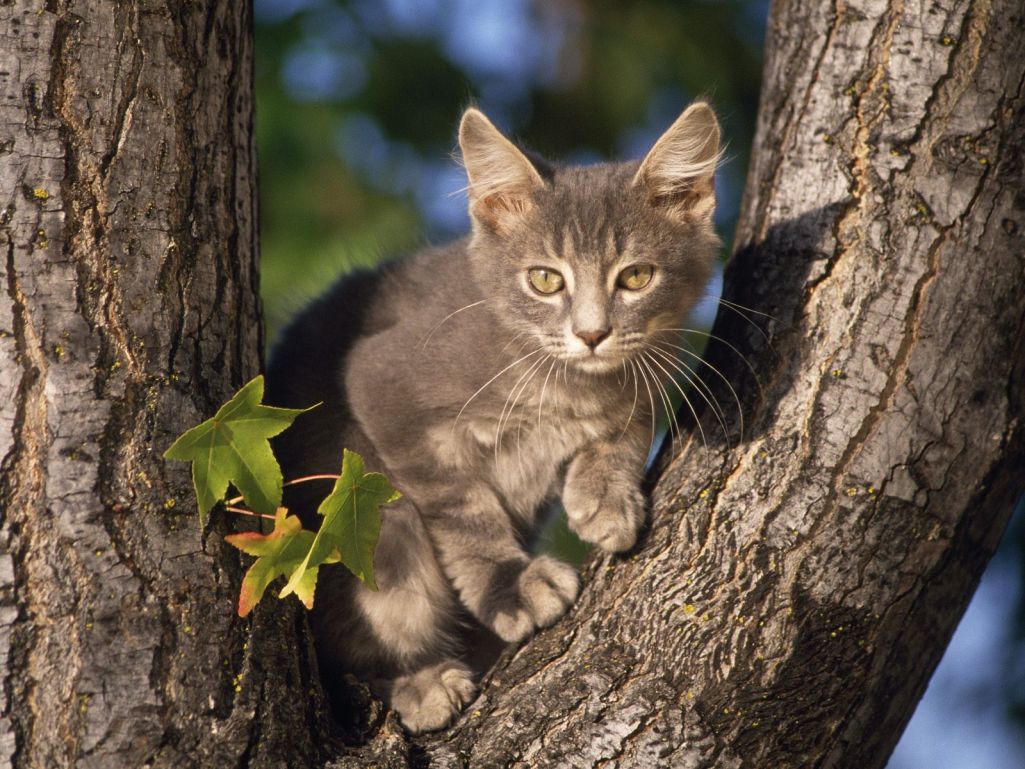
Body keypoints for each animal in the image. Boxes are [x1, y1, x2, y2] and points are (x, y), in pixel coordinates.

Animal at [268, 100, 725, 734]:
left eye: (636, 277)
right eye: (545, 279)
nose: (591, 334)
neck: (567, 384)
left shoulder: (650, 368)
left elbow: (627, 422)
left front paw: (604, 493)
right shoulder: (382, 381)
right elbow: (462, 507)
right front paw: (509, 584)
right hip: (355, 500)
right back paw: (417, 682)